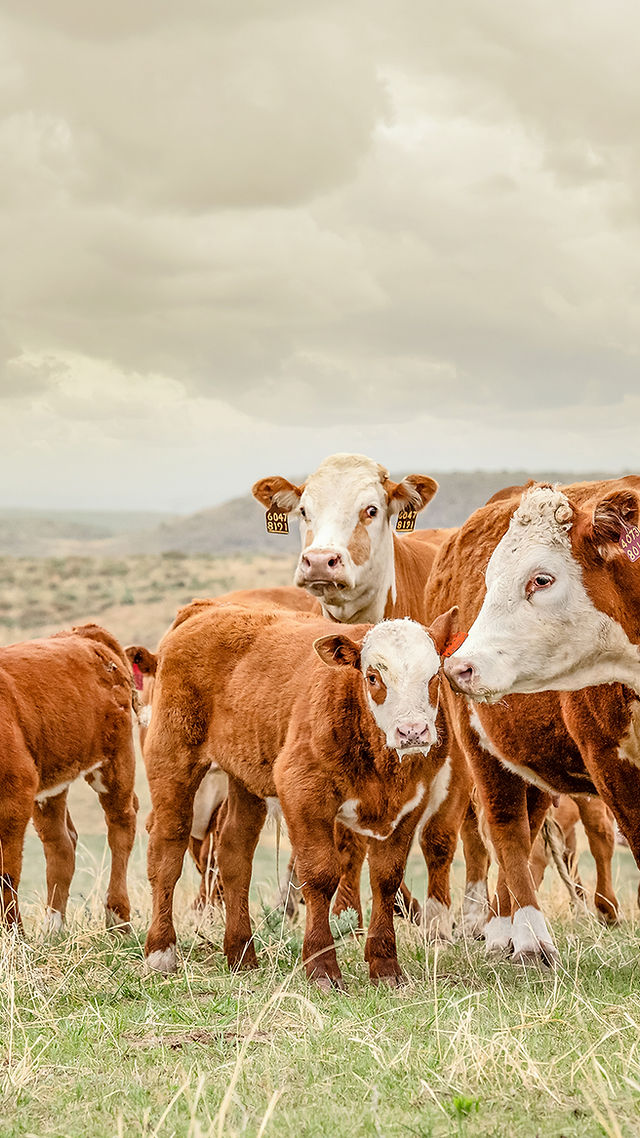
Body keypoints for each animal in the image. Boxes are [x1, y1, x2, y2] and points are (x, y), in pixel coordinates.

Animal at [0, 623, 138, 933]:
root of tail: (82, 633)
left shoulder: (14, 792)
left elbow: (5, 873)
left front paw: (13, 933)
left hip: (115, 757)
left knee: (122, 821)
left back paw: (118, 918)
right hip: (50, 782)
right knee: (62, 842)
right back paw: (53, 927)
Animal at [143, 603, 458, 988]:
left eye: (434, 675)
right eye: (372, 677)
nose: (412, 731)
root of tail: (206, 607)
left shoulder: (412, 803)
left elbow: (387, 879)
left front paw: (385, 966)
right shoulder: (302, 790)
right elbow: (320, 875)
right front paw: (321, 966)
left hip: (245, 773)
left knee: (234, 854)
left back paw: (241, 955)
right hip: (172, 756)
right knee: (167, 850)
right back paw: (161, 953)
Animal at [252, 452, 490, 940]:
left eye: (371, 509)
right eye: (304, 511)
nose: (320, 561)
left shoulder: (451, 754)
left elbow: (439, 838)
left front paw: (437, 924)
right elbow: (349, 843)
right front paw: (348, 915)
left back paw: (482, 916)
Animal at [427, 478, 639, 962]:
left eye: (541, 579)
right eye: (489, 582)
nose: (460, 667)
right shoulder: (610, 760)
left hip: (536, 766)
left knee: (528, 835)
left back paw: (504, 928)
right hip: (482, 750)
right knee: (508, 832)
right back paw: (526, 938)